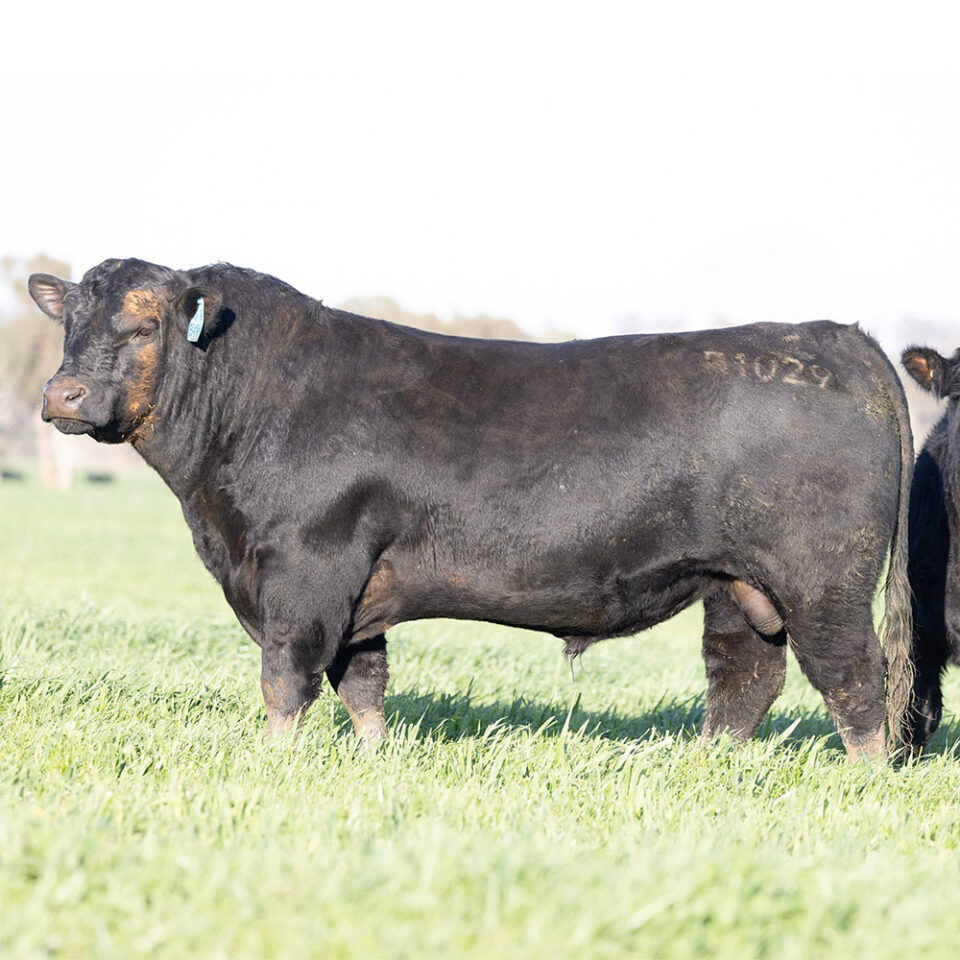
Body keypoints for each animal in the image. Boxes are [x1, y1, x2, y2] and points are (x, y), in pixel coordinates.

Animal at [30, 259, 914, 758]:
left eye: (142, 325)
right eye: (68, 321)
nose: (62, 395)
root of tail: (841, 337)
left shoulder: (304, 572)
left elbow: (288, 679)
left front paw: (272, 764)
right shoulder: (354, 593)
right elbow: (364, 684)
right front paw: (373, 763)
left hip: (824, 581)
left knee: (855, 679)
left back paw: (863, 779)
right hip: (736, 583)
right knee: (744, 678)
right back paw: (705, 769)